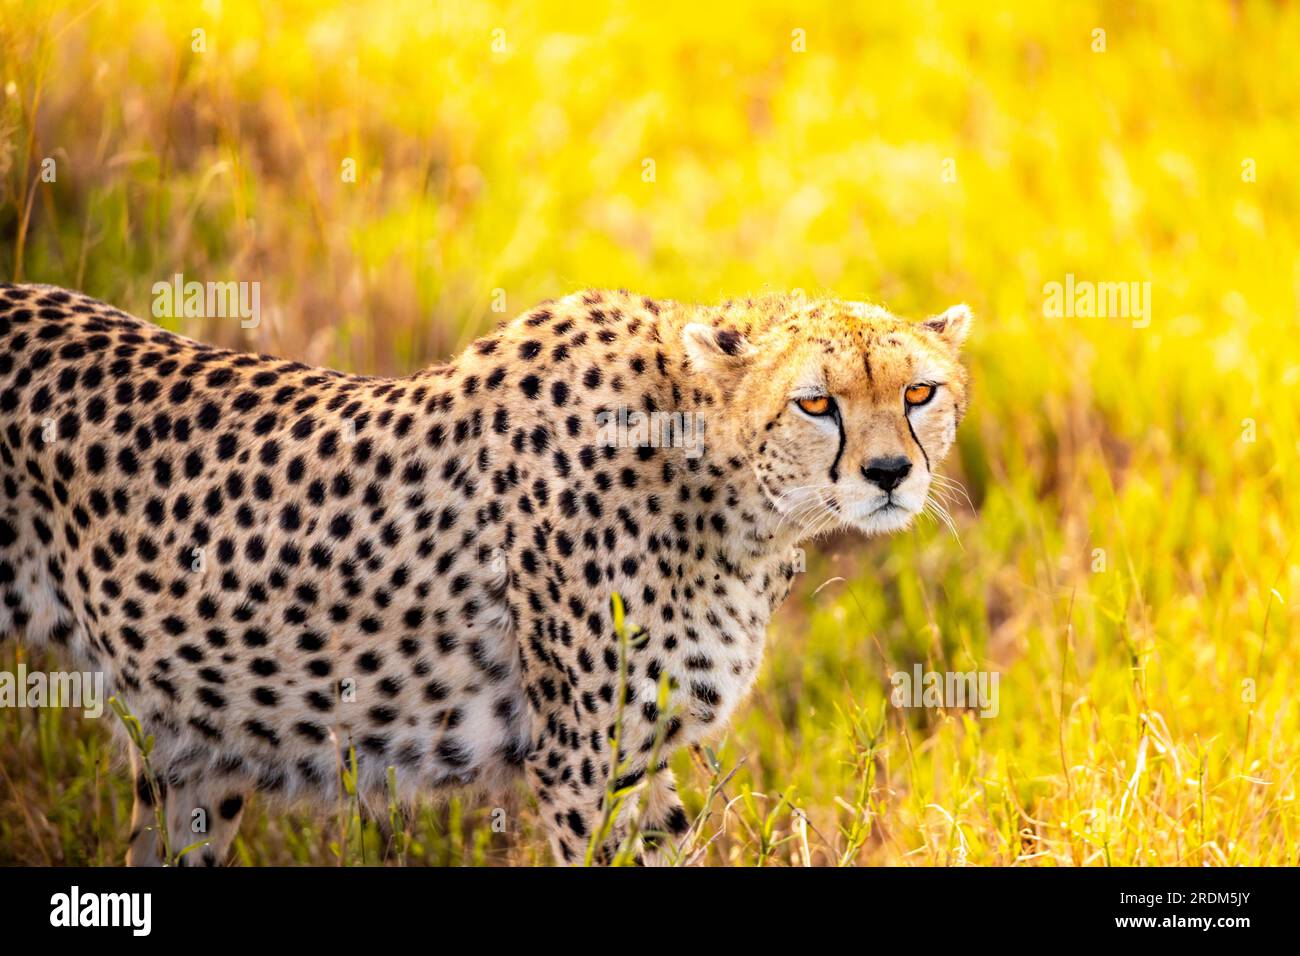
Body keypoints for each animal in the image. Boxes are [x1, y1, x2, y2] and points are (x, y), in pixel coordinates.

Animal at [0, 282, 971, 865]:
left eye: (919, 393)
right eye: (817, 402)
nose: (890, 473)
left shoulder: (641, 763)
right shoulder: (587, 767)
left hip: (196, 753)